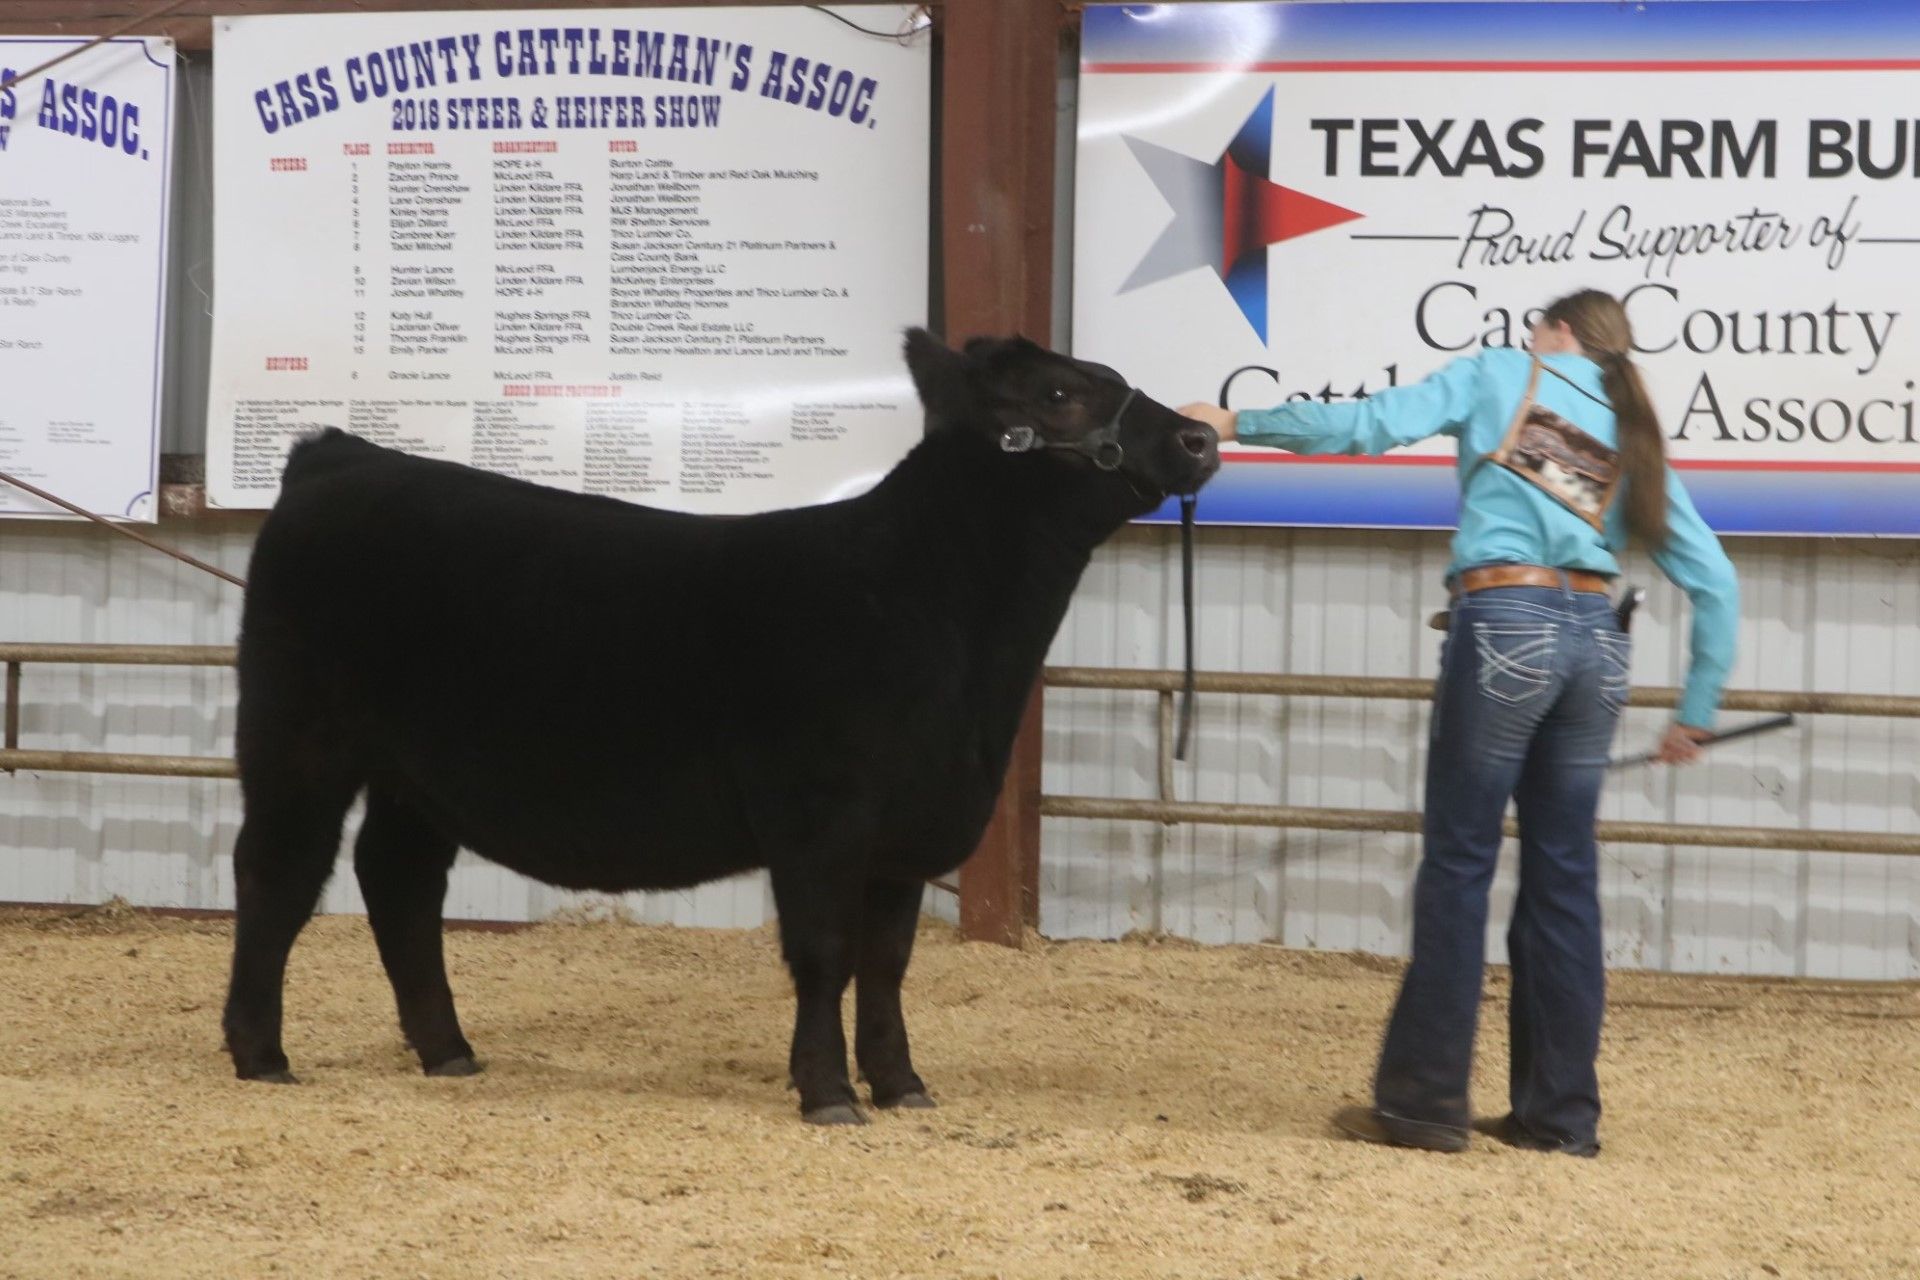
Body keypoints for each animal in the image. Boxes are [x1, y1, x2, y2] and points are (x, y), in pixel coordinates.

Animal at [221, 329, 1219, 1124]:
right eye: (1057, 393)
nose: (1199, 436)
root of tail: (338, 456)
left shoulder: (906, 830)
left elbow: (887, 963)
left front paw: (901, 1085)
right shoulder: (820, 817)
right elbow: (825, 953)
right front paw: (828, 1093)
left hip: (417, 773)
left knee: (399, 880)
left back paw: (448, 1050)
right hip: (298, 736)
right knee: (278, 871)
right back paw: (260, 1053)